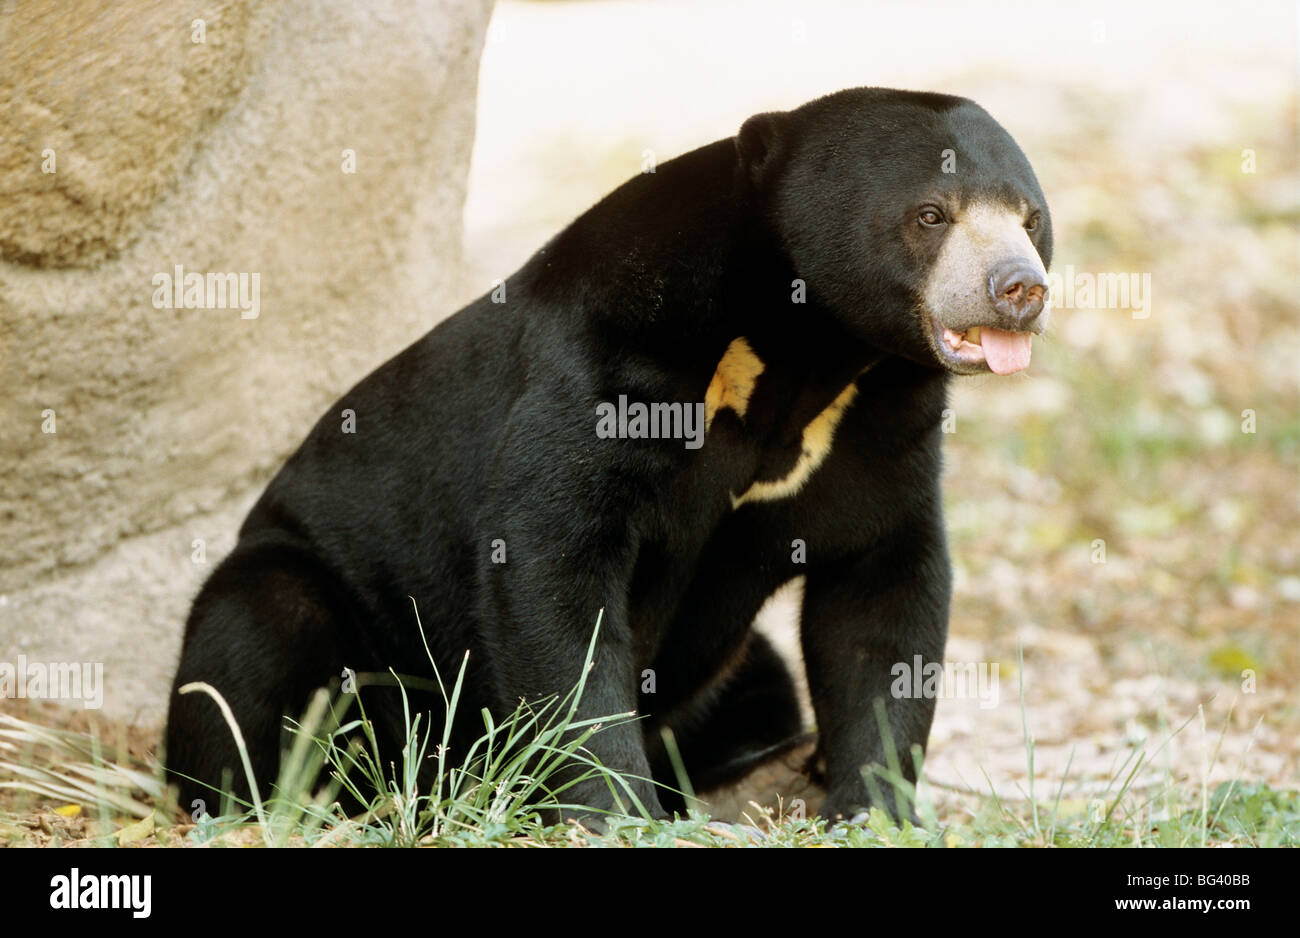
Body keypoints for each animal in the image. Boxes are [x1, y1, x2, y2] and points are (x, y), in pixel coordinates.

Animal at [164, 86, 1052, 825]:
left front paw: (870, 805)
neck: (803, 349)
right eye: (931, 213)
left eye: (1029, 216)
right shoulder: (613, 360)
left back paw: (761, 771)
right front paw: (616, 809)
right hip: (333, 604)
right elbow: (556, 562)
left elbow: (879, 591)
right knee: (258, 633)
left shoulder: (878, 423)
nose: (1020, 288)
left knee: (764, 681)